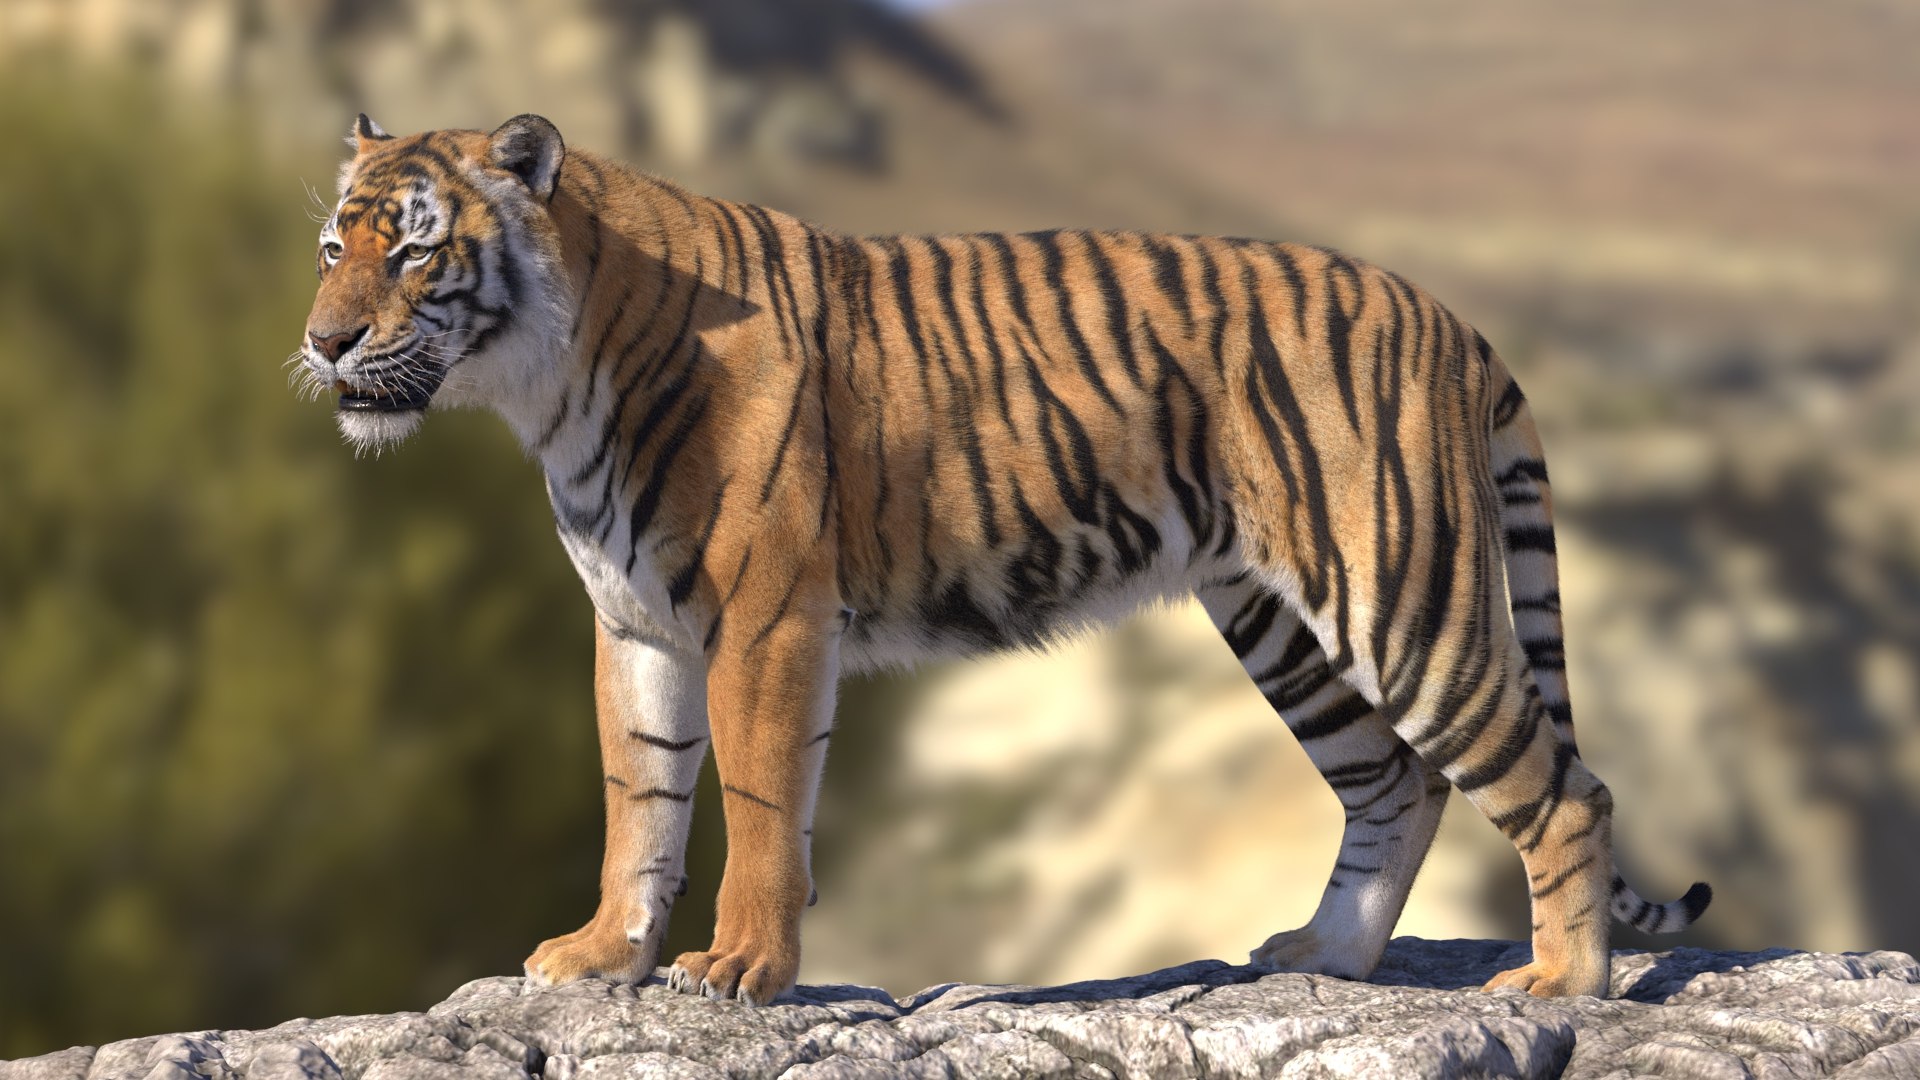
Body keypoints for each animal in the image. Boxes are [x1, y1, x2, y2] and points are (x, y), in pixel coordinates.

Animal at [298, 113, 1711, 1006]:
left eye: (415, 248)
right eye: (332, 248)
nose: (322, 342)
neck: (546, 385)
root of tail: (1451, 318)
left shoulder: (766, 616)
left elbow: (755, 801)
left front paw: (738, 971)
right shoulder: (635, 623)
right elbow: (636, 798)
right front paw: (605, 956)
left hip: (1398, 594)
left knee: (1560, 791)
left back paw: (1560, 984)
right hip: (1280, 620)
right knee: (1395, 785)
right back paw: (1325, 956)